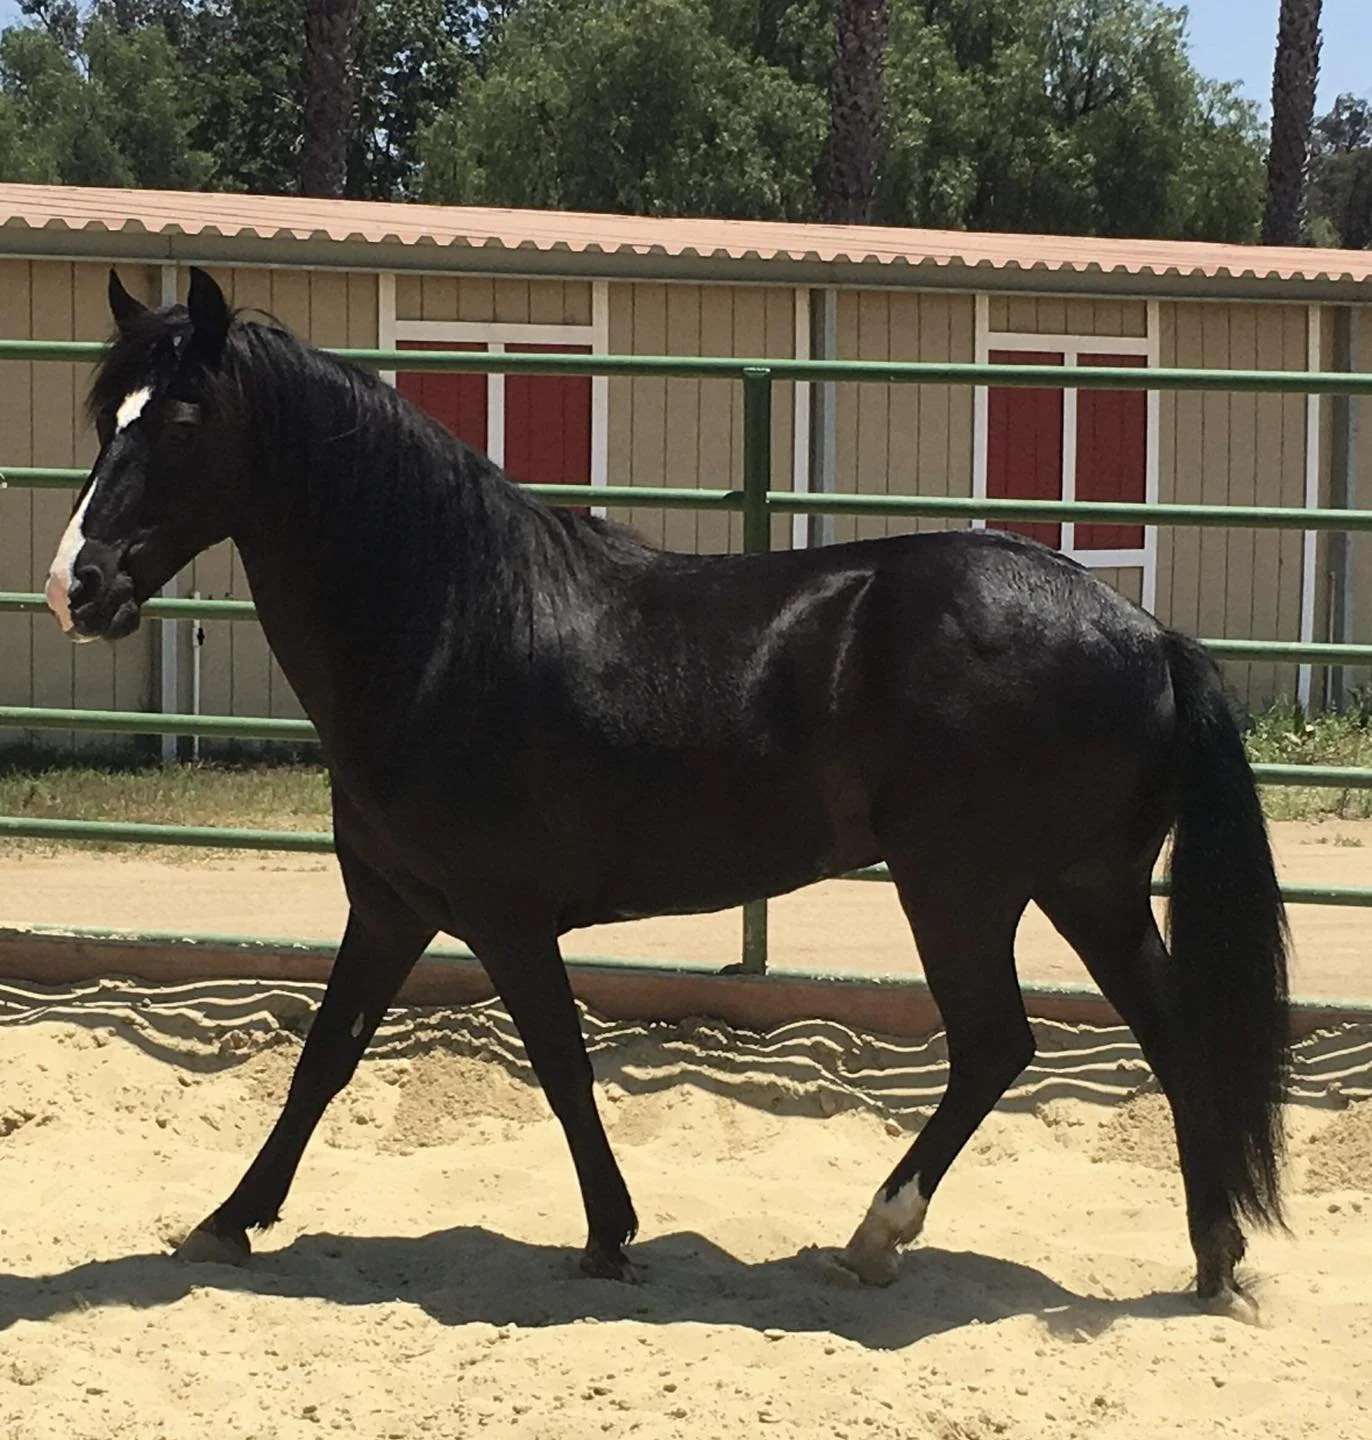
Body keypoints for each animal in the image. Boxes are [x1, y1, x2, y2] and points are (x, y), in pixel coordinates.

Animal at [43, 267, 1290, 1310]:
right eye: (107, 418)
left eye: (183, 421)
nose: (75, 585)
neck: (449, 622)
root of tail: (1145, 631)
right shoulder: (391, 906)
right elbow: (323, 1060)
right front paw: (228, 1220)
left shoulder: (501, 915)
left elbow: (557, 1064)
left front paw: (609, 1235)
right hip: (1088, 887)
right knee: (1169, 1035)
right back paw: (1212, 1258)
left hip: (960, 887)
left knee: (994, 1046)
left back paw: (876, 1238)